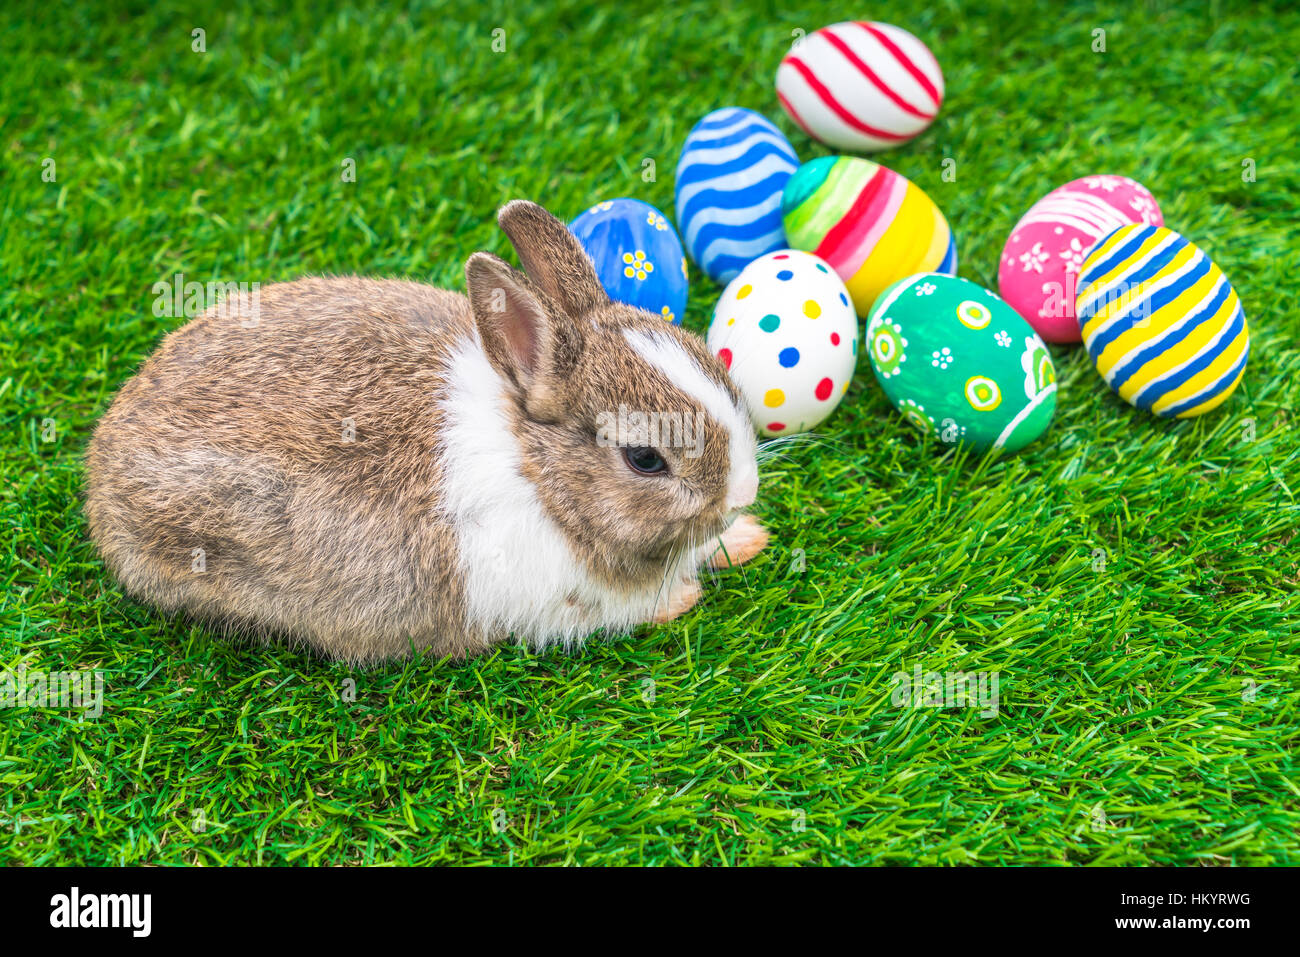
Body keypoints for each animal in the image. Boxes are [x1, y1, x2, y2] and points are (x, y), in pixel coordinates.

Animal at [84, 200, 769, 663]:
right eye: (645, 458)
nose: (743, 493)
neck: (540, 472)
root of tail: (99, 478)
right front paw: (685, 596)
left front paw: (747, 539)